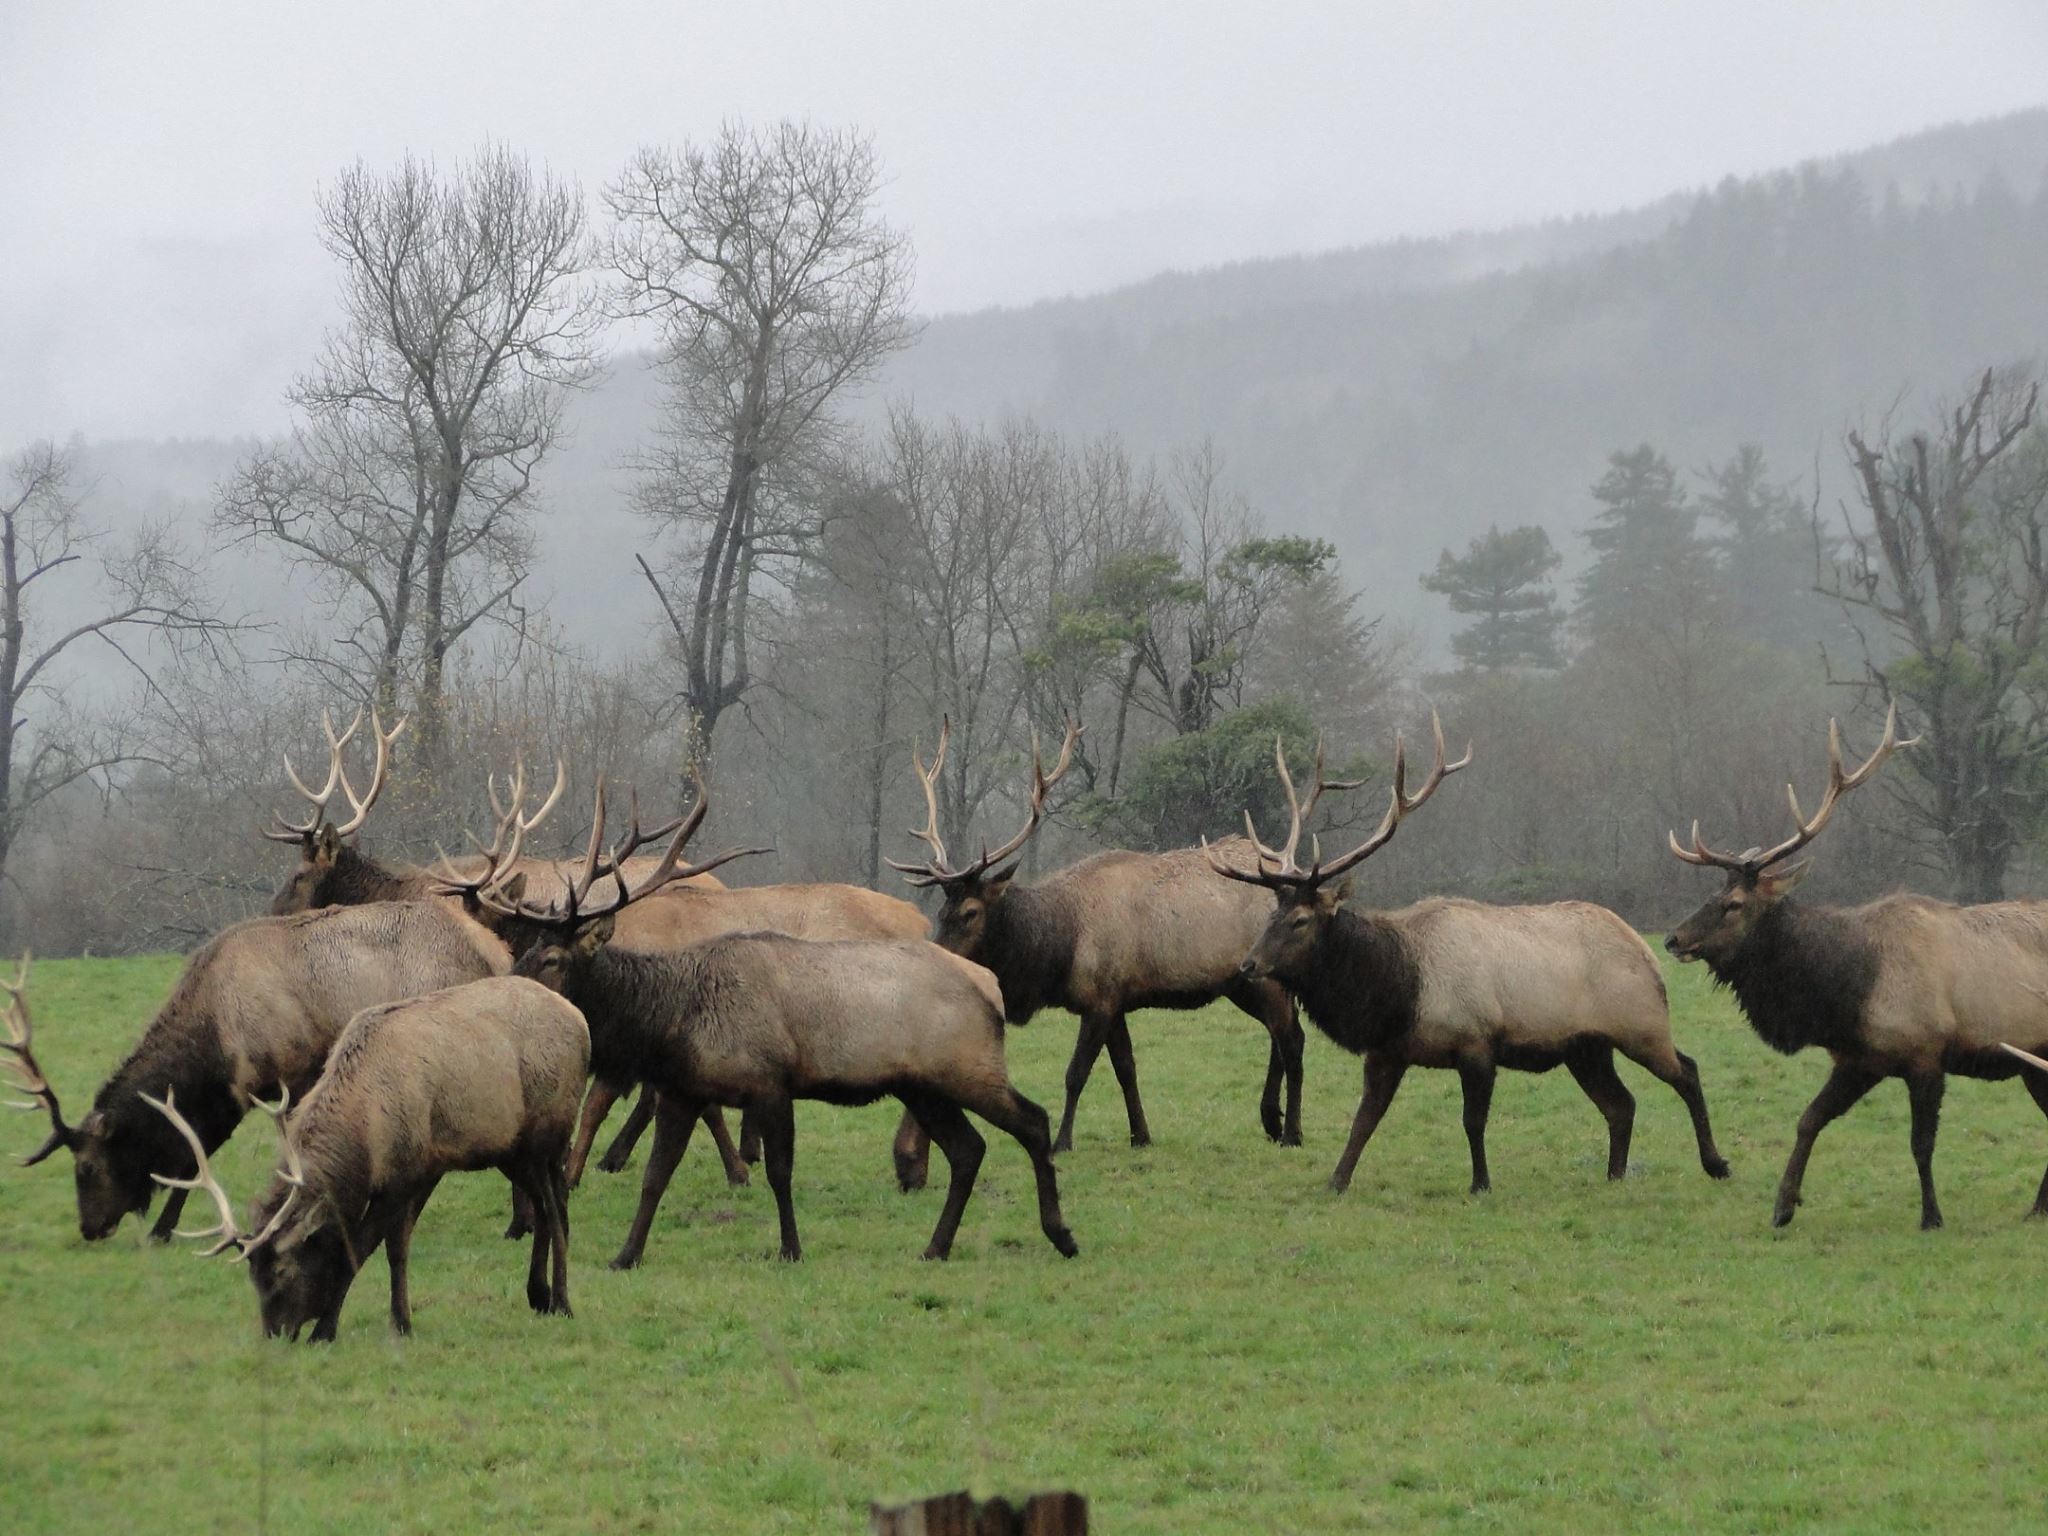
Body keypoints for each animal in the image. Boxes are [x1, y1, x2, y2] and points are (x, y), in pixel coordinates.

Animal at [142, 974, 593, 1343]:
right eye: (252, 1274)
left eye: (283, 1272)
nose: (274, 1333)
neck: (365, 1136)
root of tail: (582, 1023)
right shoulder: (422, 1171)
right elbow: (398, 1249)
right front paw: (401, 1321)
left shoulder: (404, 1175)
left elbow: (358, 1251)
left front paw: (326, 1330)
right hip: (508, 1149)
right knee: (545, 1205)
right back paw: (538, 1295)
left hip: (548, 1134)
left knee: (556, 1207)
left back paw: (562, 1301)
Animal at [888, 716, 1302, 1187]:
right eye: (941, 911)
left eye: (971, 912)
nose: (933, 957)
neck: (1058, 946)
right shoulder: (1118, 999)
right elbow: (1126, 1070)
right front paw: (1140, 1135)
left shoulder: (1100, 998)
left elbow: (1076, 1073)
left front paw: (1062, 1141)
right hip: (1241, 983)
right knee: (1282, 1035)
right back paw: (1274, 1121)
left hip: (1264, 977)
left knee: (1291, 1038)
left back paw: (1289, 1131)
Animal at [1212, 720, 1728, 1204]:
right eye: (1272, 913)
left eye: (1300, 919)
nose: (1248, 965)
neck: (1399, 990)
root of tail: (1647, 949)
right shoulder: (1387, 1050)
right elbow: (1364, 1120)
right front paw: (1336, 1182)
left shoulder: (1477, 1043)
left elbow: (1472, 1122)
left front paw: (1481, 1183)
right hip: (1586, 1048)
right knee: (1622, 1104)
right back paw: (1615, 1175)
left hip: (1641, 1024)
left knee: (1687, 1071)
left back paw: (1716, 1164)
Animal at [1662, 704, 2048, 1236]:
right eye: (1711, 895)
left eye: (1733, 903)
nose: (1673, 938)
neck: (1849, 987)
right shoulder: (1859, 1059)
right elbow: (1808, 1119)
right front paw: (1783, 1206)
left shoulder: (1927, 1054)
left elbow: (1920, 1144)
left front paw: (1931, 1216)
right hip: (2035, 1065)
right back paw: (2037, 1207)